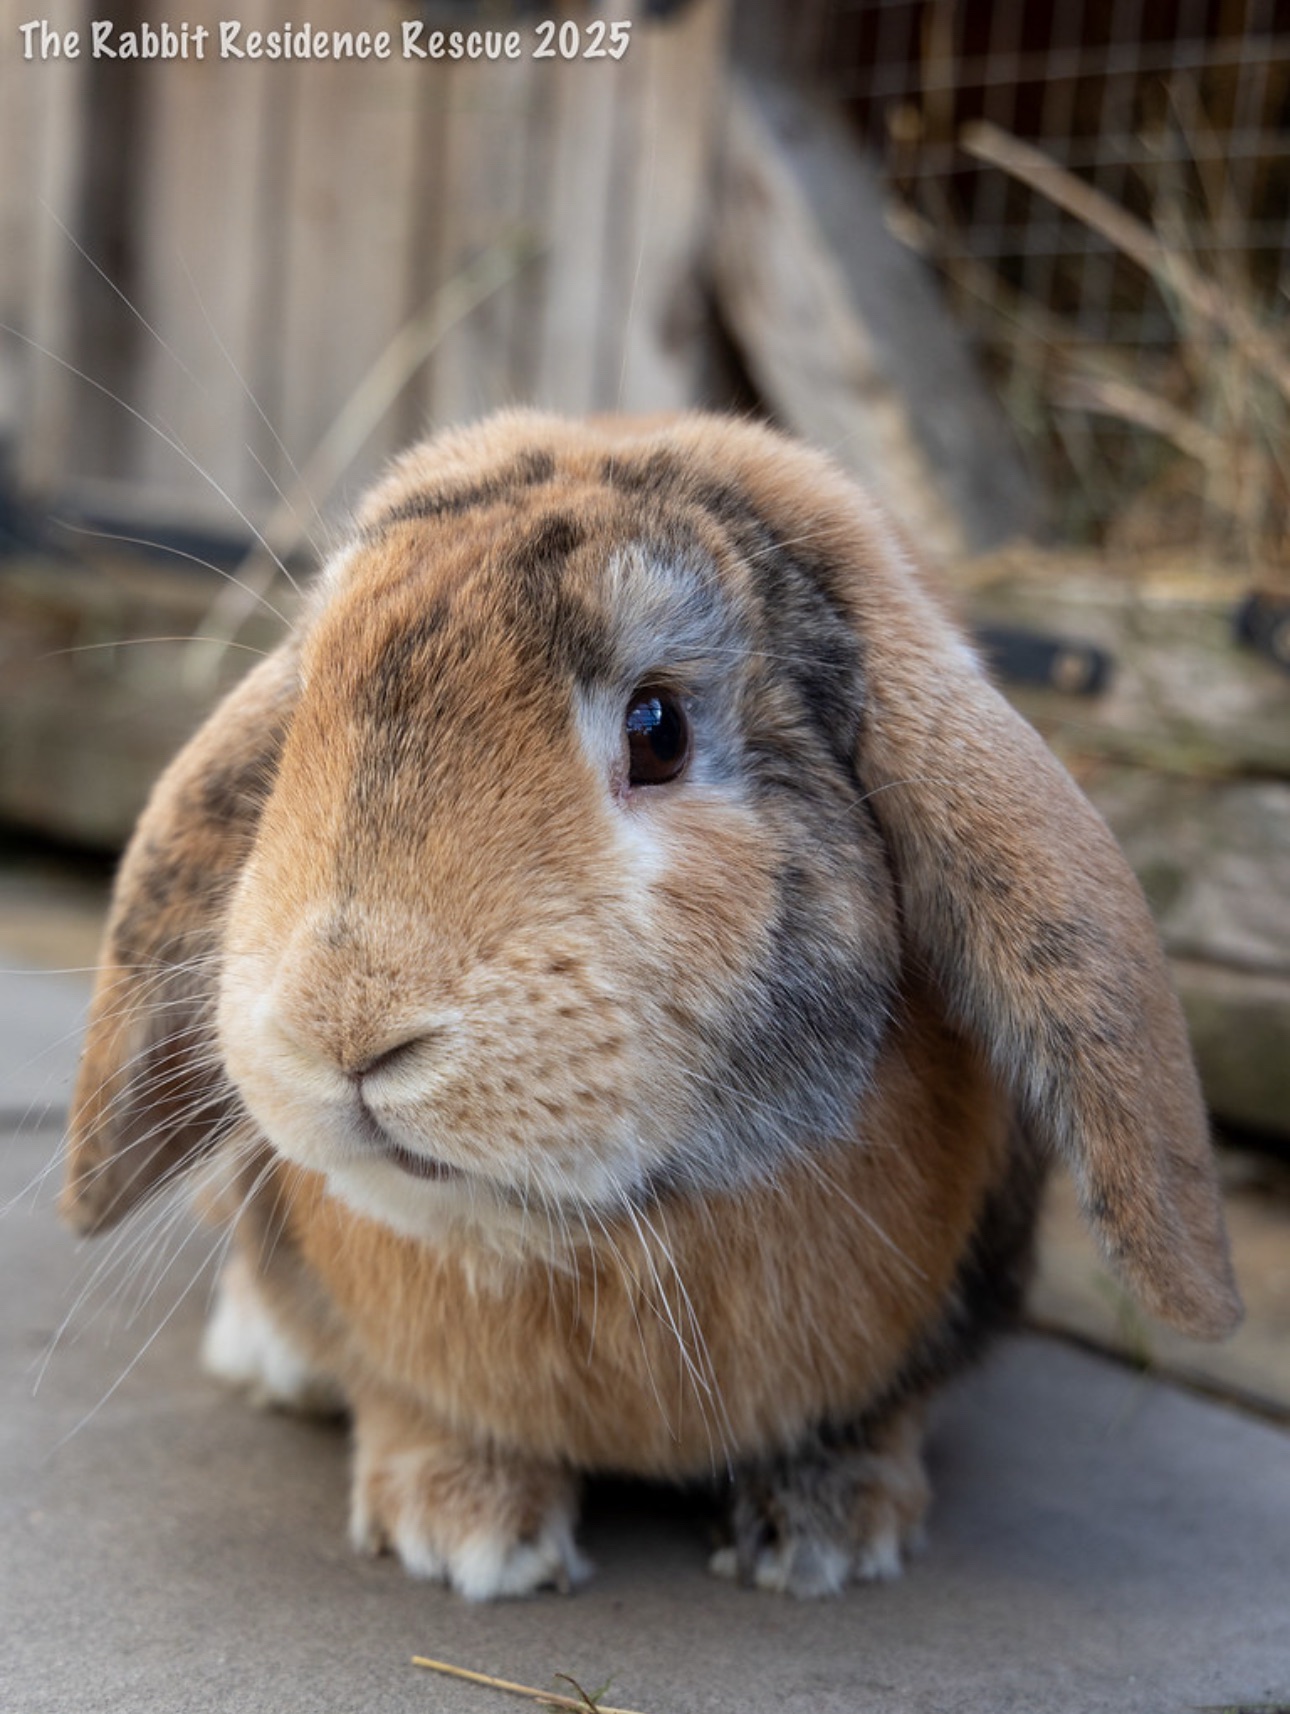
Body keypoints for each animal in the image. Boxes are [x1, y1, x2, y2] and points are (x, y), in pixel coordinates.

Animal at [62, 409, 1241, 1601]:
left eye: (660, 727)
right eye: (302, 723)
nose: (347, 1027)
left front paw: (833, 1538)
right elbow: (404, 1402)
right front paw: (466, 1536)